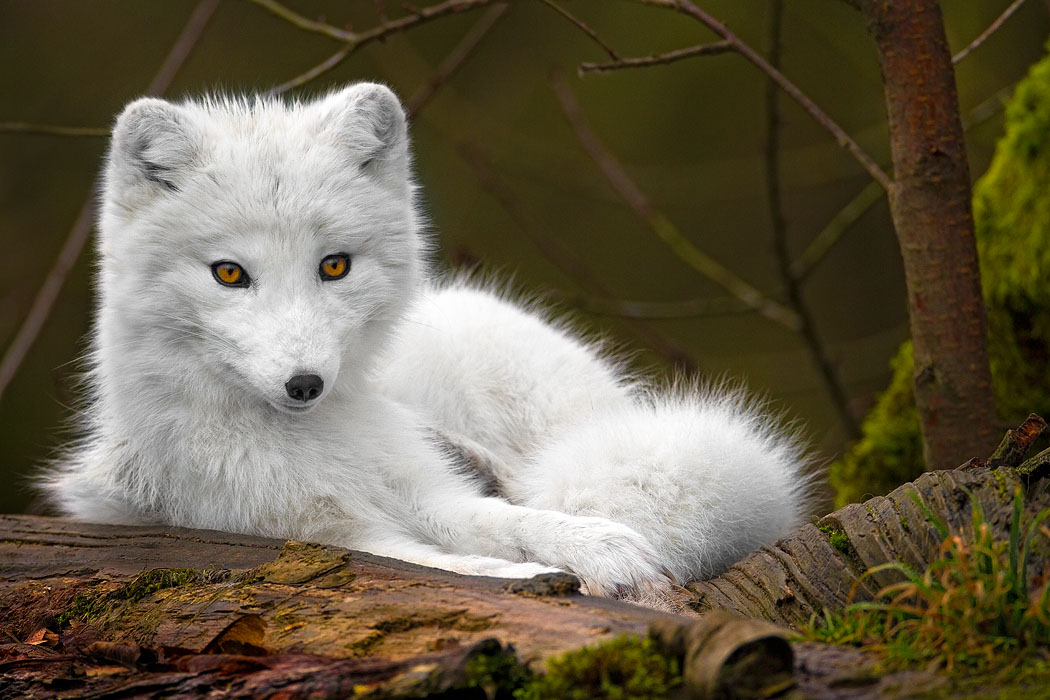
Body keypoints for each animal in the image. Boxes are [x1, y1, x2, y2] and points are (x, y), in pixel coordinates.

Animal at [46, 83, 810, 601]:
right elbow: (443, 564)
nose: (304, 384)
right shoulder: (321, 536)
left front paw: (595, 548)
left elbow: (507, 519)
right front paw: (534, 575)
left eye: (334, 265)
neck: (312, 446)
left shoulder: (424, 493)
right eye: (229, 273)